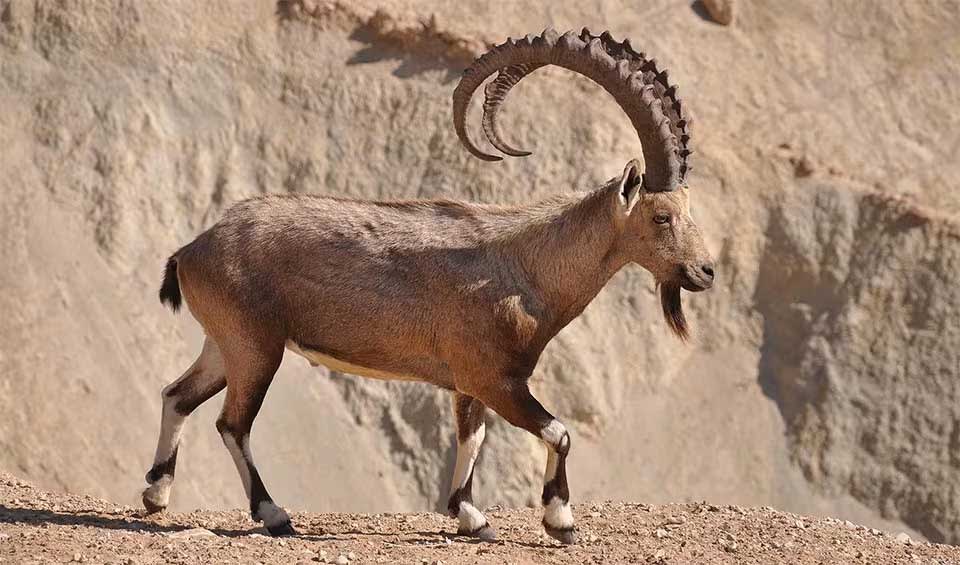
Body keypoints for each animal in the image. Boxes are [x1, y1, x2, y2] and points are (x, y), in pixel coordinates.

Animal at [142, 28, 715, 545]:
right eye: (661, 216)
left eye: (689, 209)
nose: (706, 271)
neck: (528, 265)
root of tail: (193, 249)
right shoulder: (497, 380)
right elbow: (560, 432)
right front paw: (560, 522)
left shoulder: (468, 384)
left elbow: (471, 436)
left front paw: (471, 517)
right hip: (256, 348)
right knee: (231, 423)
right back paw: (274, 514)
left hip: (224, 343)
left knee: (177, 395)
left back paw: (156, 494)